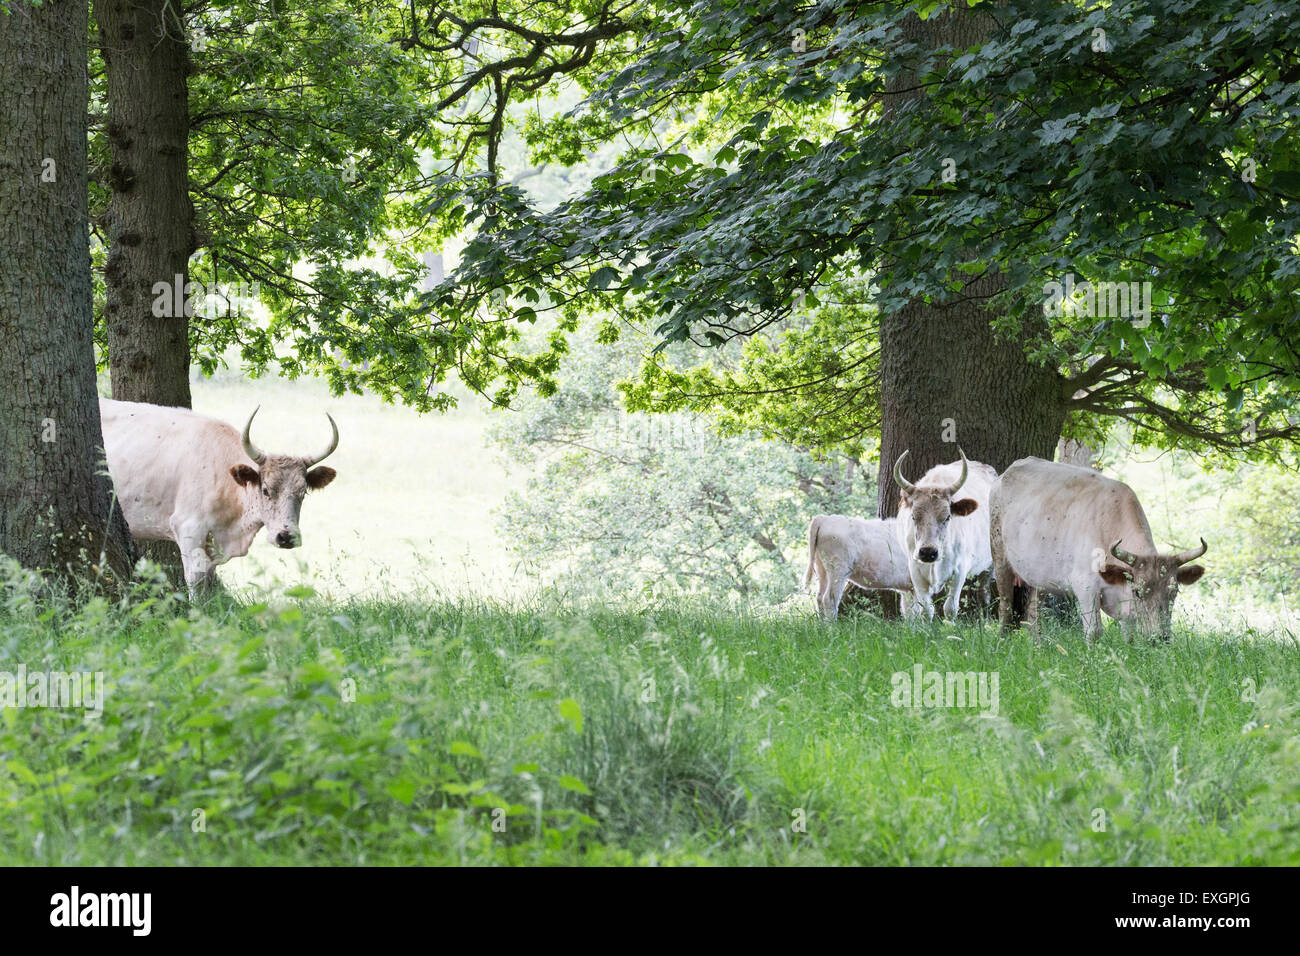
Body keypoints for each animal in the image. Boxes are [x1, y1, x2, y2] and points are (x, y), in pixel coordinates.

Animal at [99, 398, 339, 597]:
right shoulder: (188, 528)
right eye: (265, 490)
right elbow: (195, 578)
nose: (286, 536)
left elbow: (209, 577)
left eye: (303, 492)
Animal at [893, 448, 997, 621]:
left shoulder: (959, 571)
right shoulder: (916, 571)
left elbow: (950, 608)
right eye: (913, 516)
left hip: (990, 564)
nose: (928, 552)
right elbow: (926, 610)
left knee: (984, 594)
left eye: (947, 517)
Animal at [988, 457, 1207, 641]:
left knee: (1033, 612)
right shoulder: (1085, 587)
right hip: (999, 555)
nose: (1159, 638)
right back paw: (1001, 642)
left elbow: (1129, 635)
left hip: (1038, 573)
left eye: (1174, 592)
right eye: (1138, 592)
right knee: (1005, 605)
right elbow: (1094, 631)